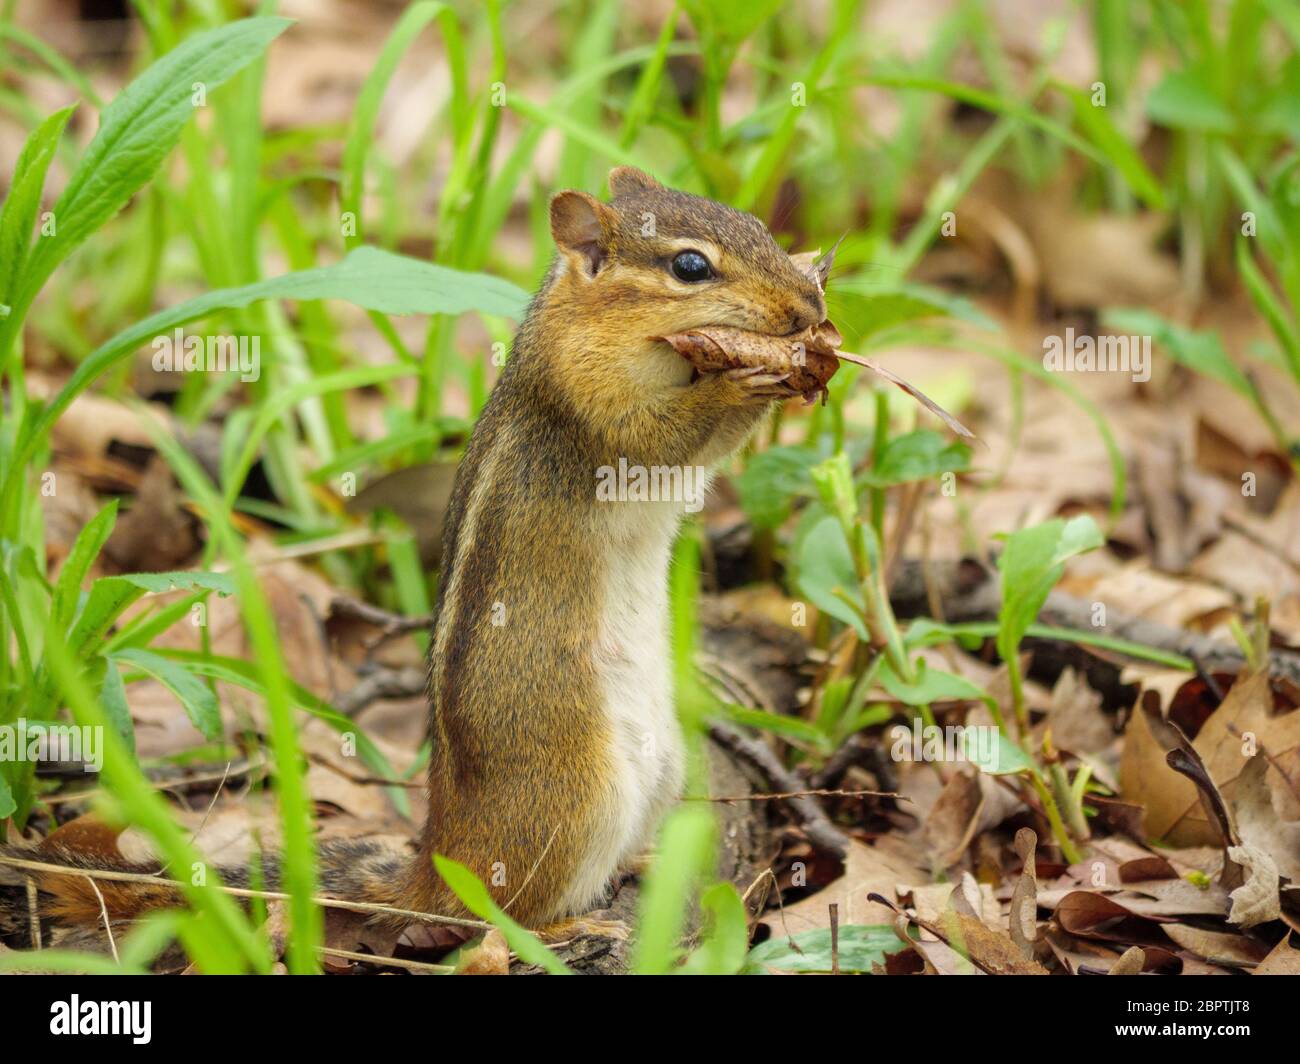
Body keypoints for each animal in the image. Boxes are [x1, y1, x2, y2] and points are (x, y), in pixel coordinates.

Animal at [0, 167, 828, 950]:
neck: (589, 324)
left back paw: (647, 861)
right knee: (499, 912)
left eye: (758, 225)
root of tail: (435, 857)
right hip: (577, 793)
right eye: (690, 266)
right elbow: (667, 434)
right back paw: (569, 928)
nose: (807, 309)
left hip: (663, 770)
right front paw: (754, 378)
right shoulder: (593, 403)